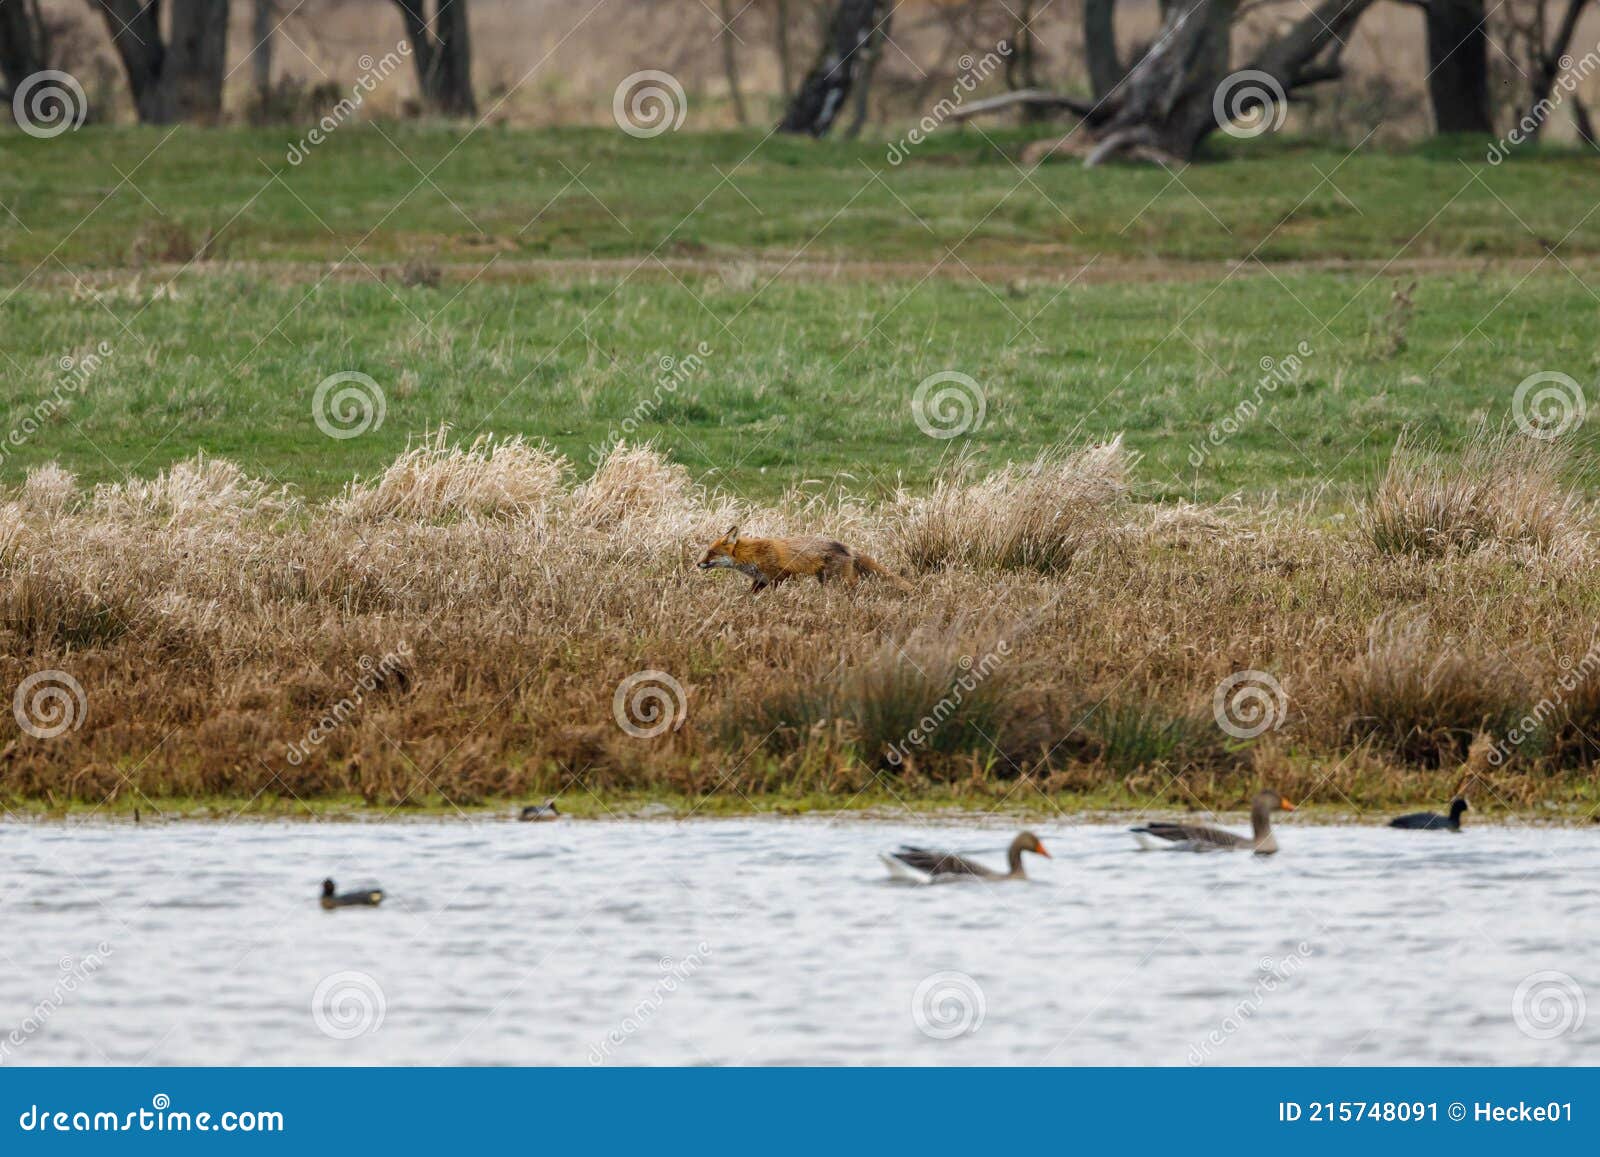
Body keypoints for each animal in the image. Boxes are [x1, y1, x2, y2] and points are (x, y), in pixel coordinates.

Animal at [696, 525, 912, 594]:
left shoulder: (780, 576)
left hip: (836, 581)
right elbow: (749, 595)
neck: (752, 555)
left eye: (711, 552)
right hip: (826, 580)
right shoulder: (761, 580)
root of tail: (847, 546)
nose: (697, 564)